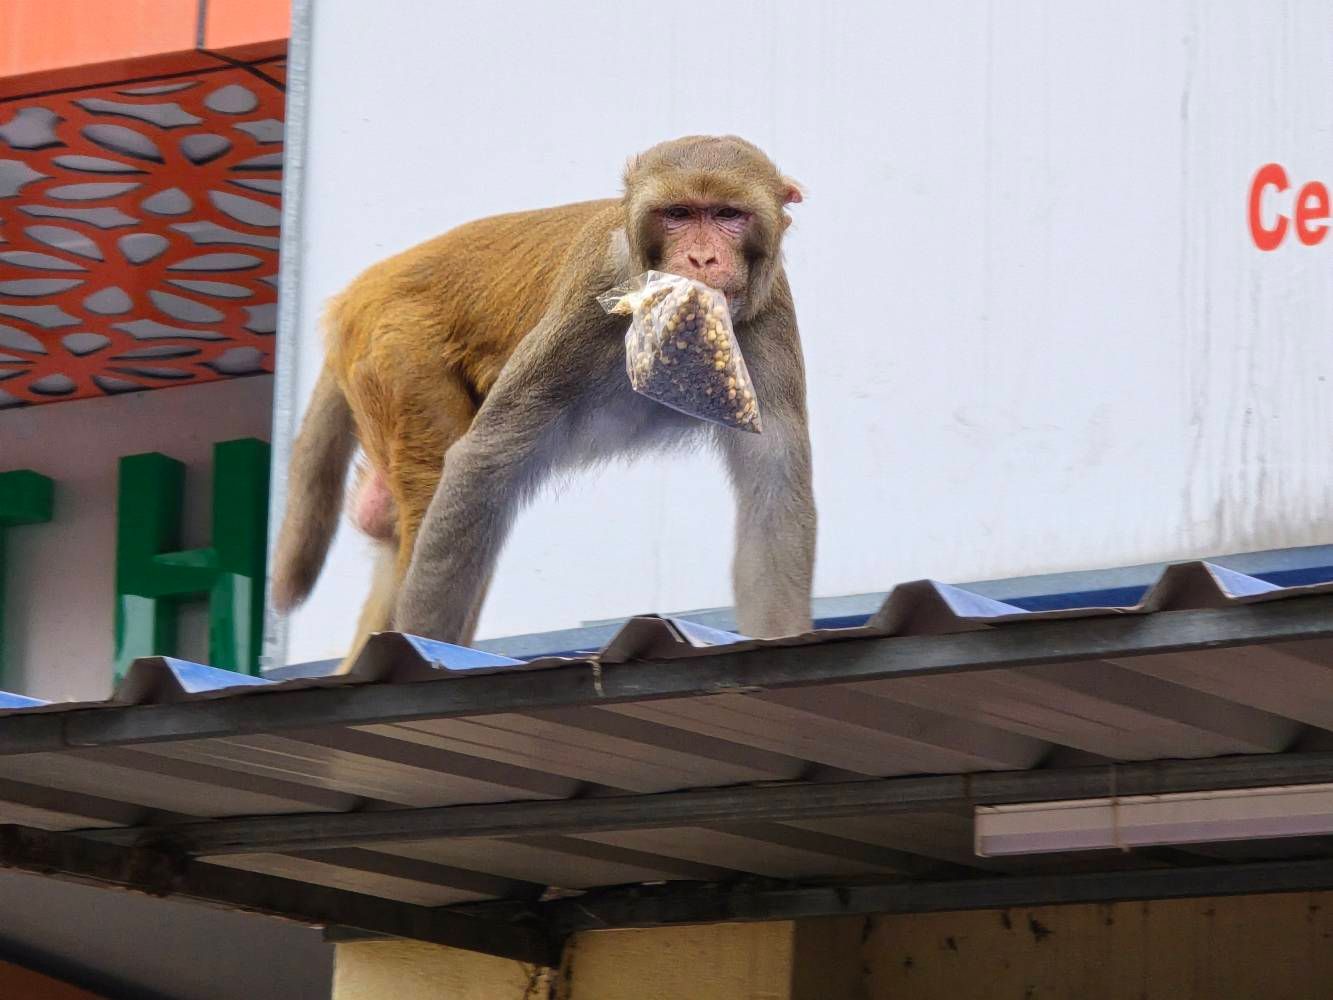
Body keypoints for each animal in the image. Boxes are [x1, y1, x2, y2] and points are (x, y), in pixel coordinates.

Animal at [271, 135, 816, 670]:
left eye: (728, 214)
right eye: (678, 213)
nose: (702, 260)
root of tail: (358, 293)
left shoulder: (769, 316)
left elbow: (773, 495)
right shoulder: (592, 297)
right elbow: (485, 459)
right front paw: (422, 645)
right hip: (397, 350)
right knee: (438, 491)